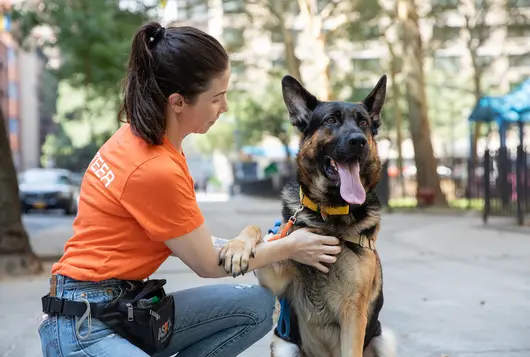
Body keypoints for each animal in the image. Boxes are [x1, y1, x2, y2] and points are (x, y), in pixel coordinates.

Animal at [217, 73, 394, 354]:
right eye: (331, 120)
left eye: (363, 122)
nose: (359, 140)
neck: (329, 214)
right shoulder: (275, 280)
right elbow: (258, 230)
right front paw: (236, 249)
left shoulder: (353, 313)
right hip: (283, 345)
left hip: (384, 339)